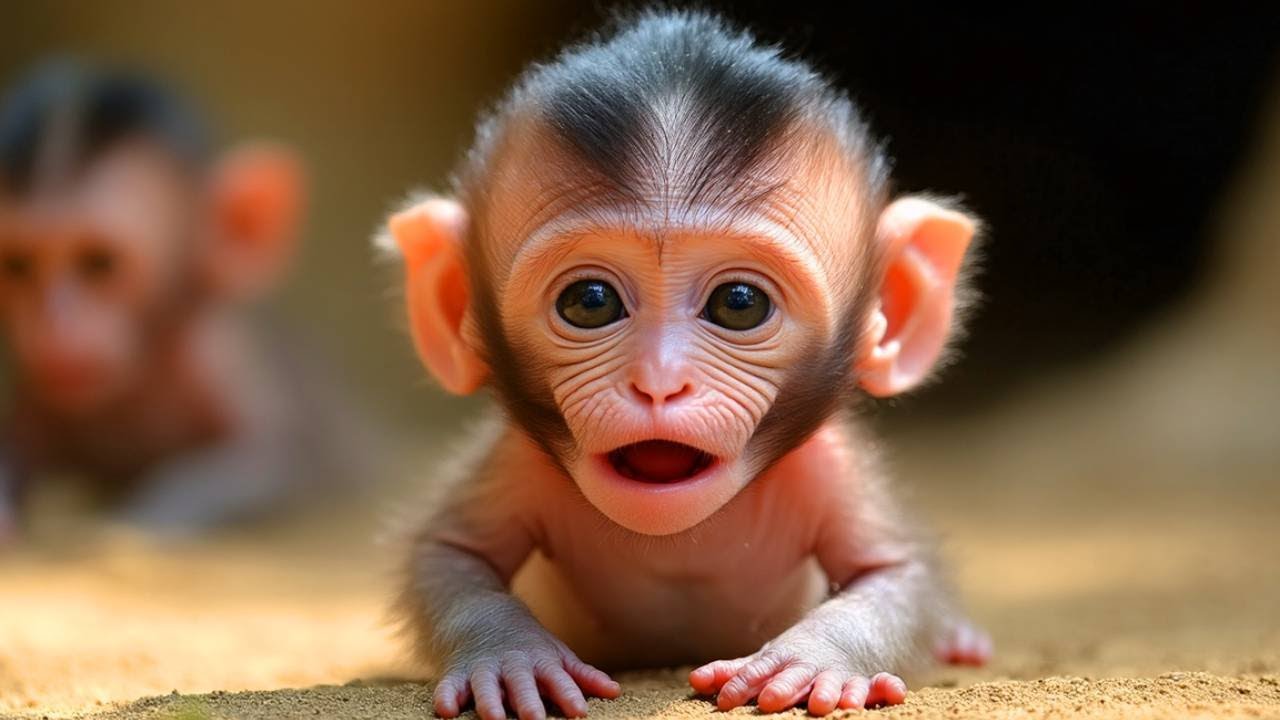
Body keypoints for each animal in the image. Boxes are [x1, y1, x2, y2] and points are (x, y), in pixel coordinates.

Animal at [0, 61, 373, 542]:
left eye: (98, 262)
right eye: (18, 265)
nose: (54, 325)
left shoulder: (221, 356)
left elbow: (277, 460)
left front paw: (141, 525)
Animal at [382, 11, 992, 719]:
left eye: (739, 303)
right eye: (589, 302)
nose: (658, 382)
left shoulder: (827, 467)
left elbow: (893, 573)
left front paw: (814, 662)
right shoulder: (518, 461)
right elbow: (453, 556)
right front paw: (511, 659)